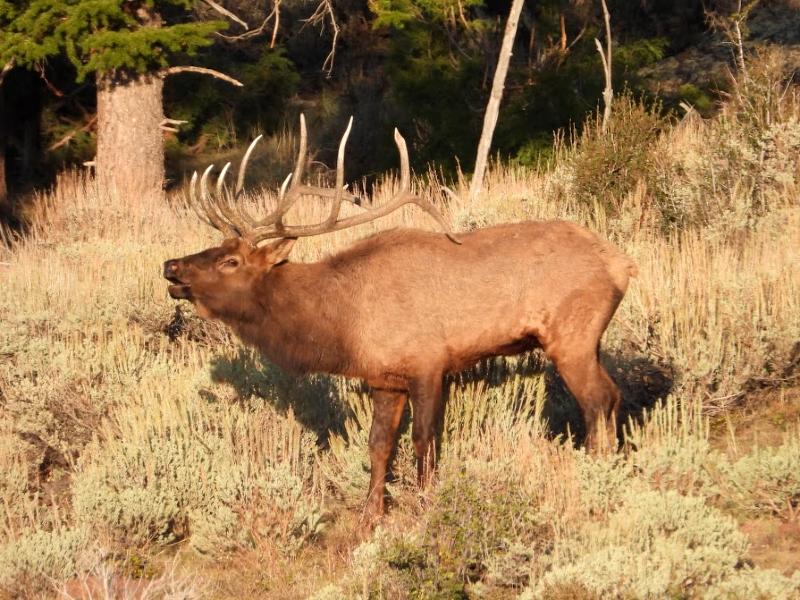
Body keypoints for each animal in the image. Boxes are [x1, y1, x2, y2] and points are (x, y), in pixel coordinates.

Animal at [163, 115, 637, 526]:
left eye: (230, 261)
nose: (171, 266)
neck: (344, 324)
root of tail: (621, 264)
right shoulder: (383, 378)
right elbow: (378, 445)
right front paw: (370, 515)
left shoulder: (428, 362)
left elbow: (424, 441)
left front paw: (425, 505)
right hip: (588, 338)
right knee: (613, 395)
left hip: (570, 334)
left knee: (597, 400)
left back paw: (595, 476)